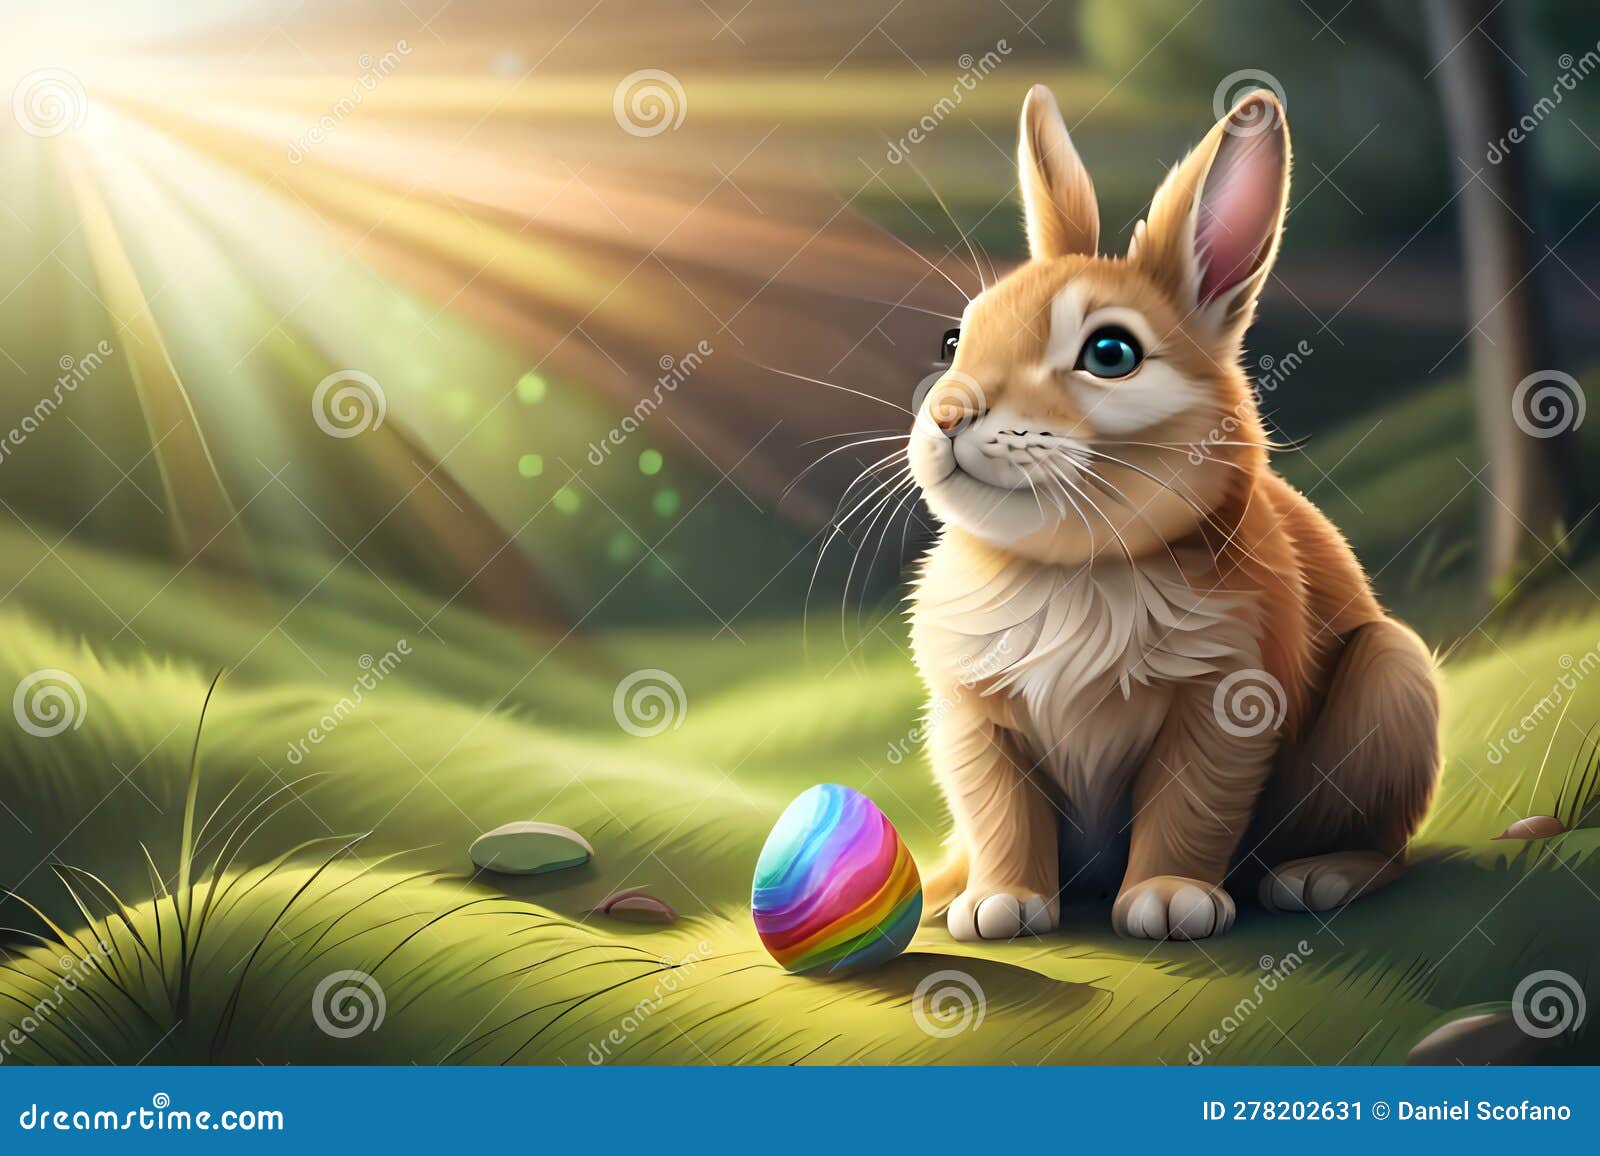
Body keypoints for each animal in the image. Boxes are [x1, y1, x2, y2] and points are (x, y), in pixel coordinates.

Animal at [908, 85, 1440, 942]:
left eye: (1111, 353)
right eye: (955, 338)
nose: (948, 414)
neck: (1074, 568)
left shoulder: (1227, 702)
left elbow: (1188, 805)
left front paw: (1167, 899)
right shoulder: (973, 717)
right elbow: (1001, 813)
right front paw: (998, 904)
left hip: (1392, 684)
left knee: (1390, 844)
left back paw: (1319, 877)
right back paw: (937, 886)